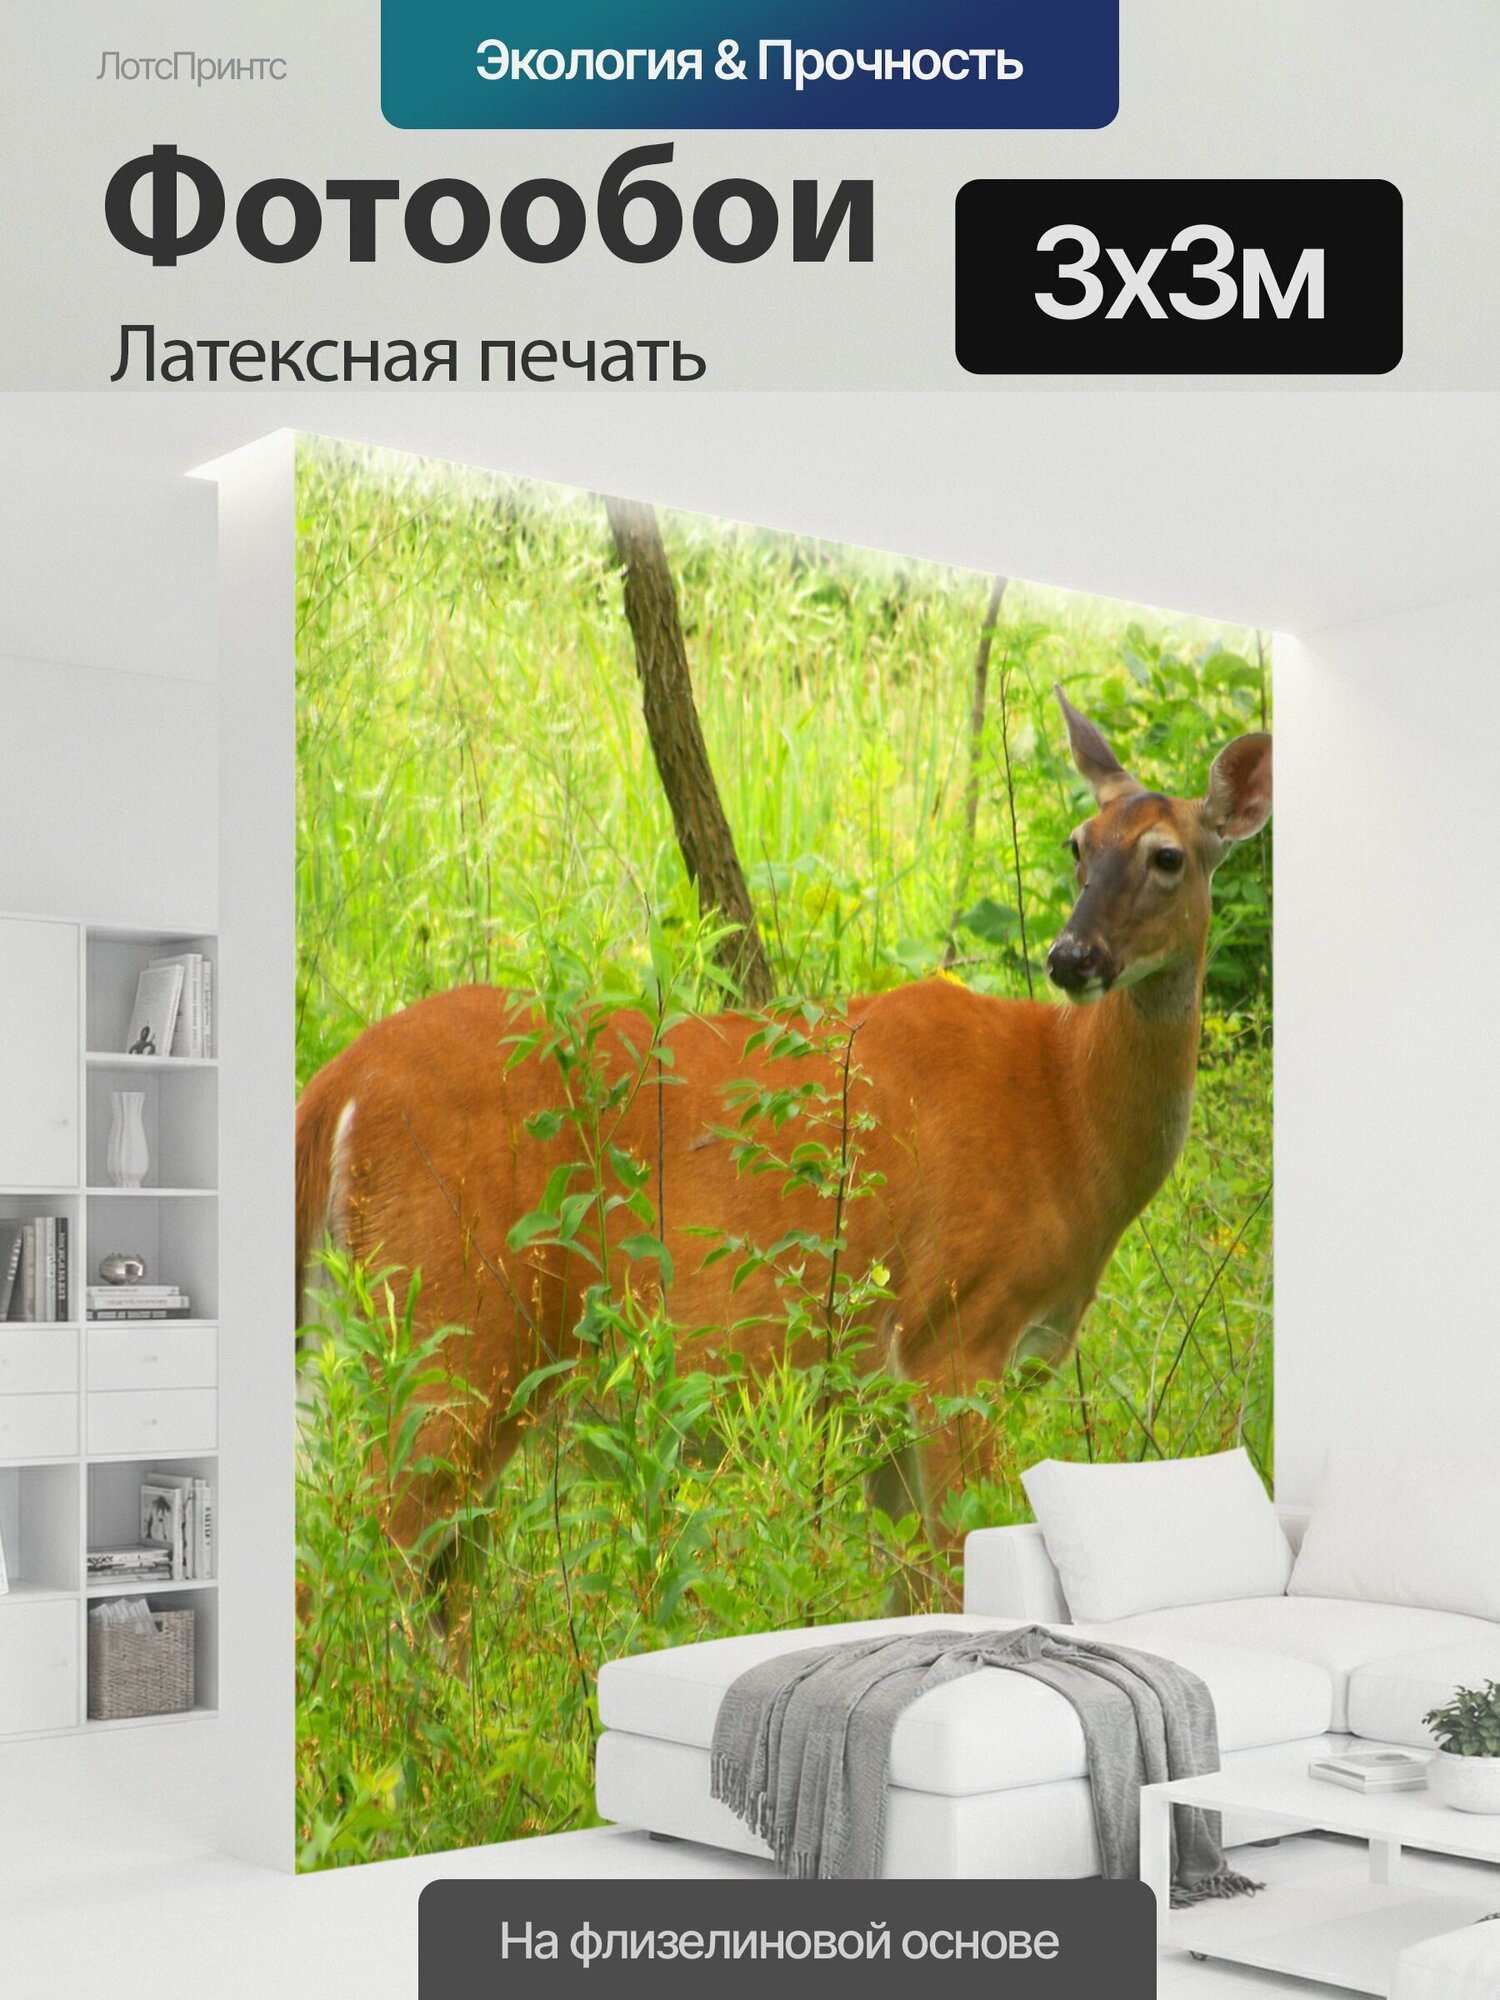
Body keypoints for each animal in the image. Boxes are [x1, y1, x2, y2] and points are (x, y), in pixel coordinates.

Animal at [295, 688, 1270, 1584]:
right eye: (1076, 844)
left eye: (1168, 856)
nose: (1071, 958)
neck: (1065, 1115)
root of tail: (335, 1088)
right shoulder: (954, 1332)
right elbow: (956, 1566)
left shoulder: (891, 1394)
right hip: (454, 1318)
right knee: (356, 1559)